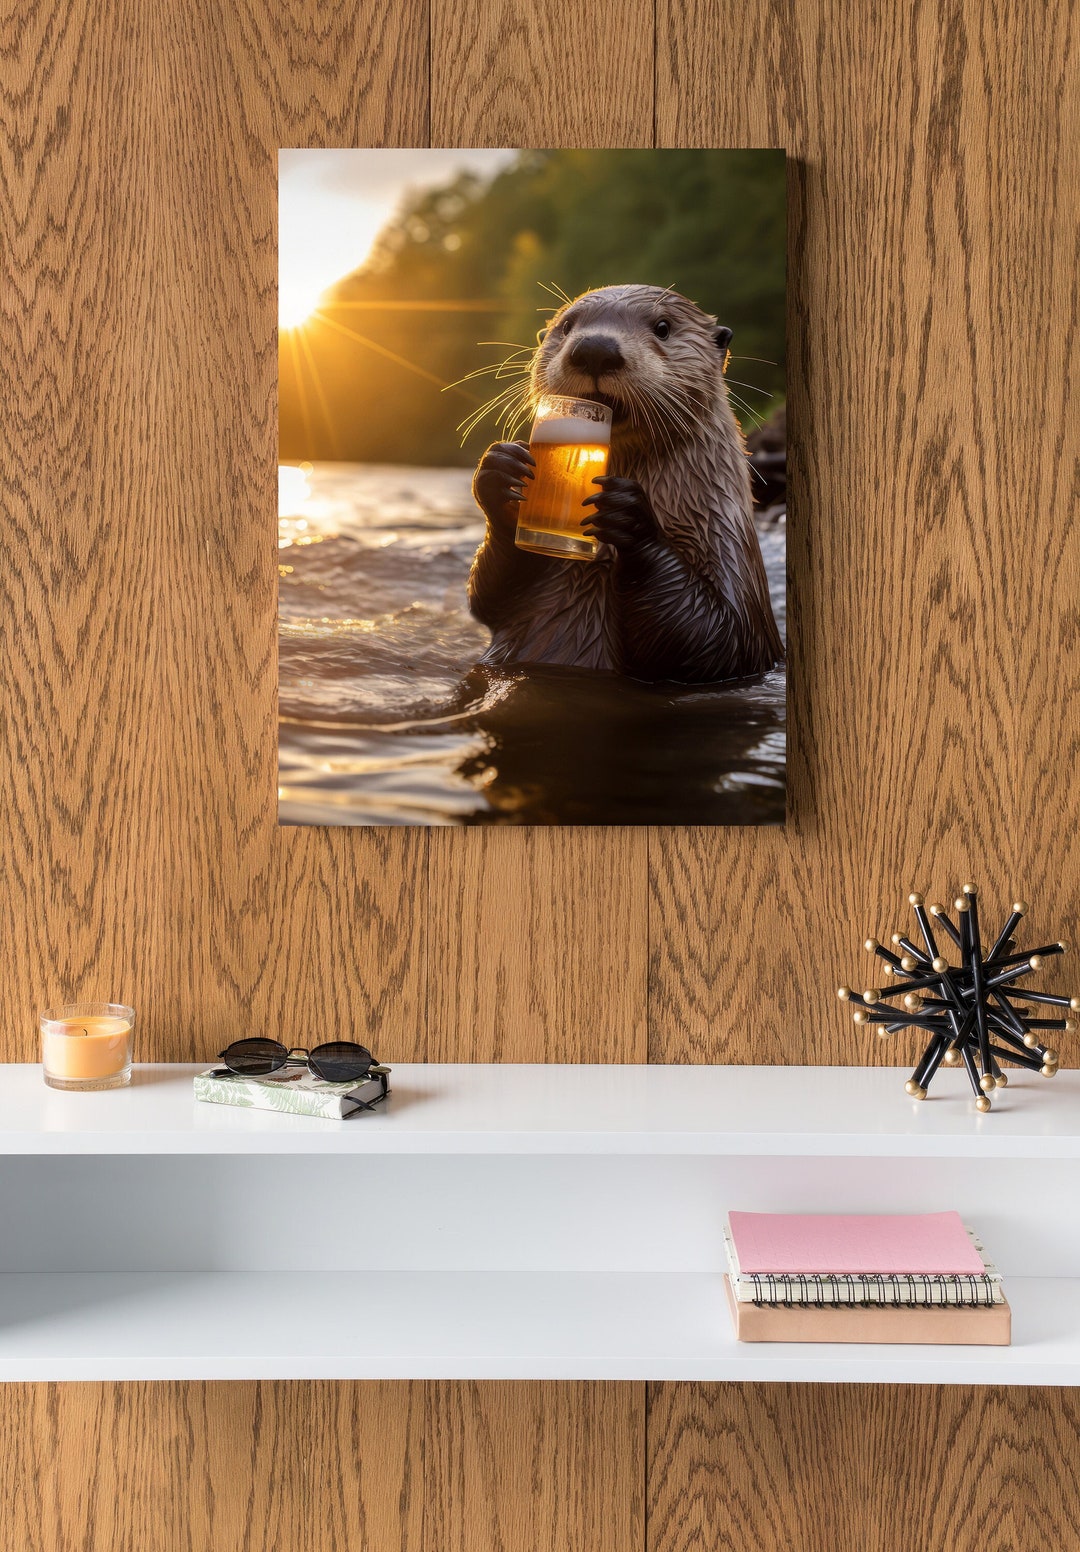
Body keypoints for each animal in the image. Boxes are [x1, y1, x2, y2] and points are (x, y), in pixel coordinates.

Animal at [467, 284, 784, 685]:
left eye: (663, 327)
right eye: (566, 325)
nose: (594, 349)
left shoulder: (735, 569)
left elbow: (719, 638)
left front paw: (629, 515)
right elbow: (486, 598)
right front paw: (500, 472)